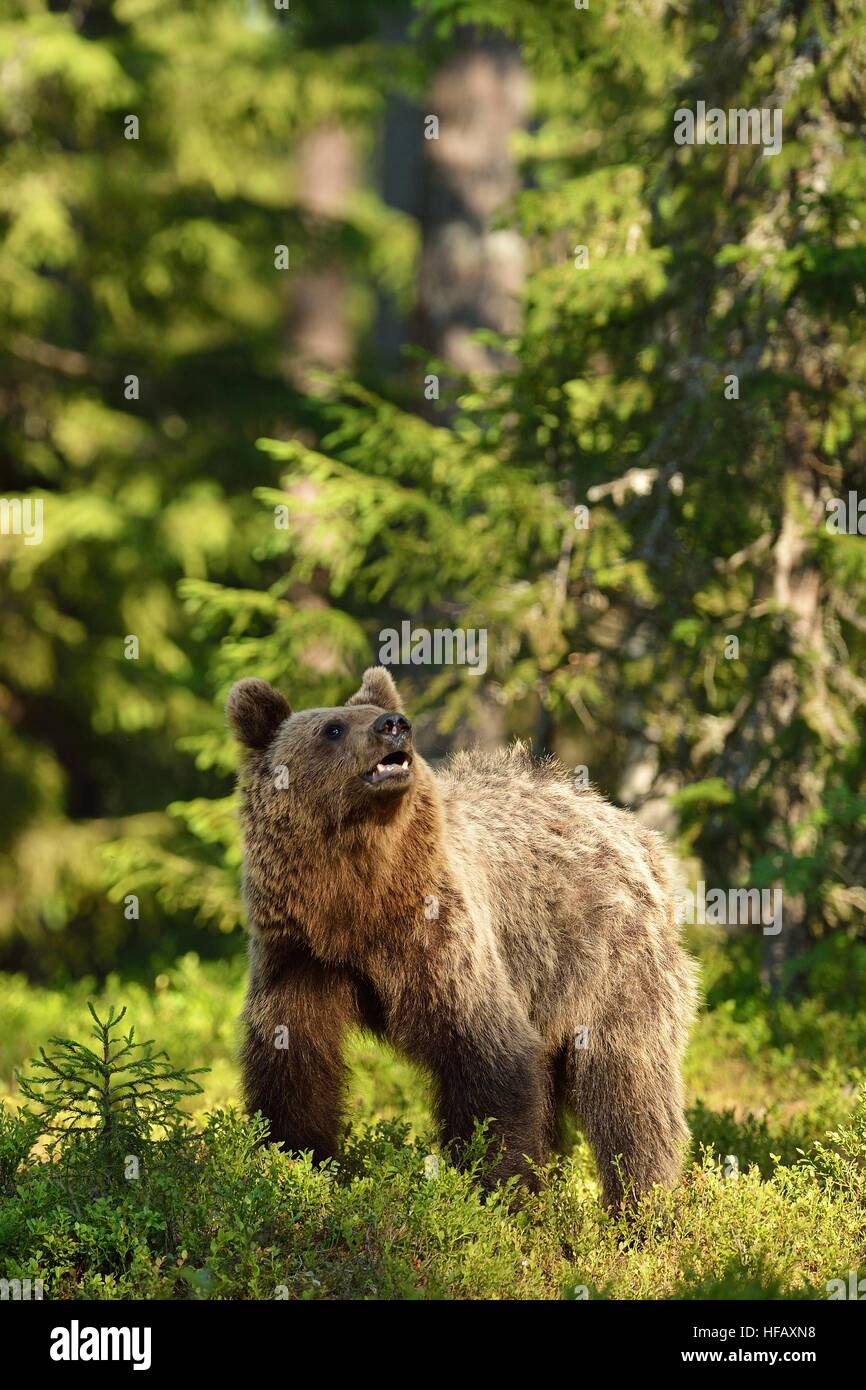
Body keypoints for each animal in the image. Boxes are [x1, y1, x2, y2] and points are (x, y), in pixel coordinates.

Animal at [227, 665, 698, 1208]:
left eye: (377, 713)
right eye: (333, 728)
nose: (395, 725)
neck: (355, 900)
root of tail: (629, 826)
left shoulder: (441, 937)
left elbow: (487, 1057)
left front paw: (498, 1189)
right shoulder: (300, 954)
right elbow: (294, 1063)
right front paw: (297, 1161)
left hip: (608, 962)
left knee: (630, 1084)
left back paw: (643, 1201)